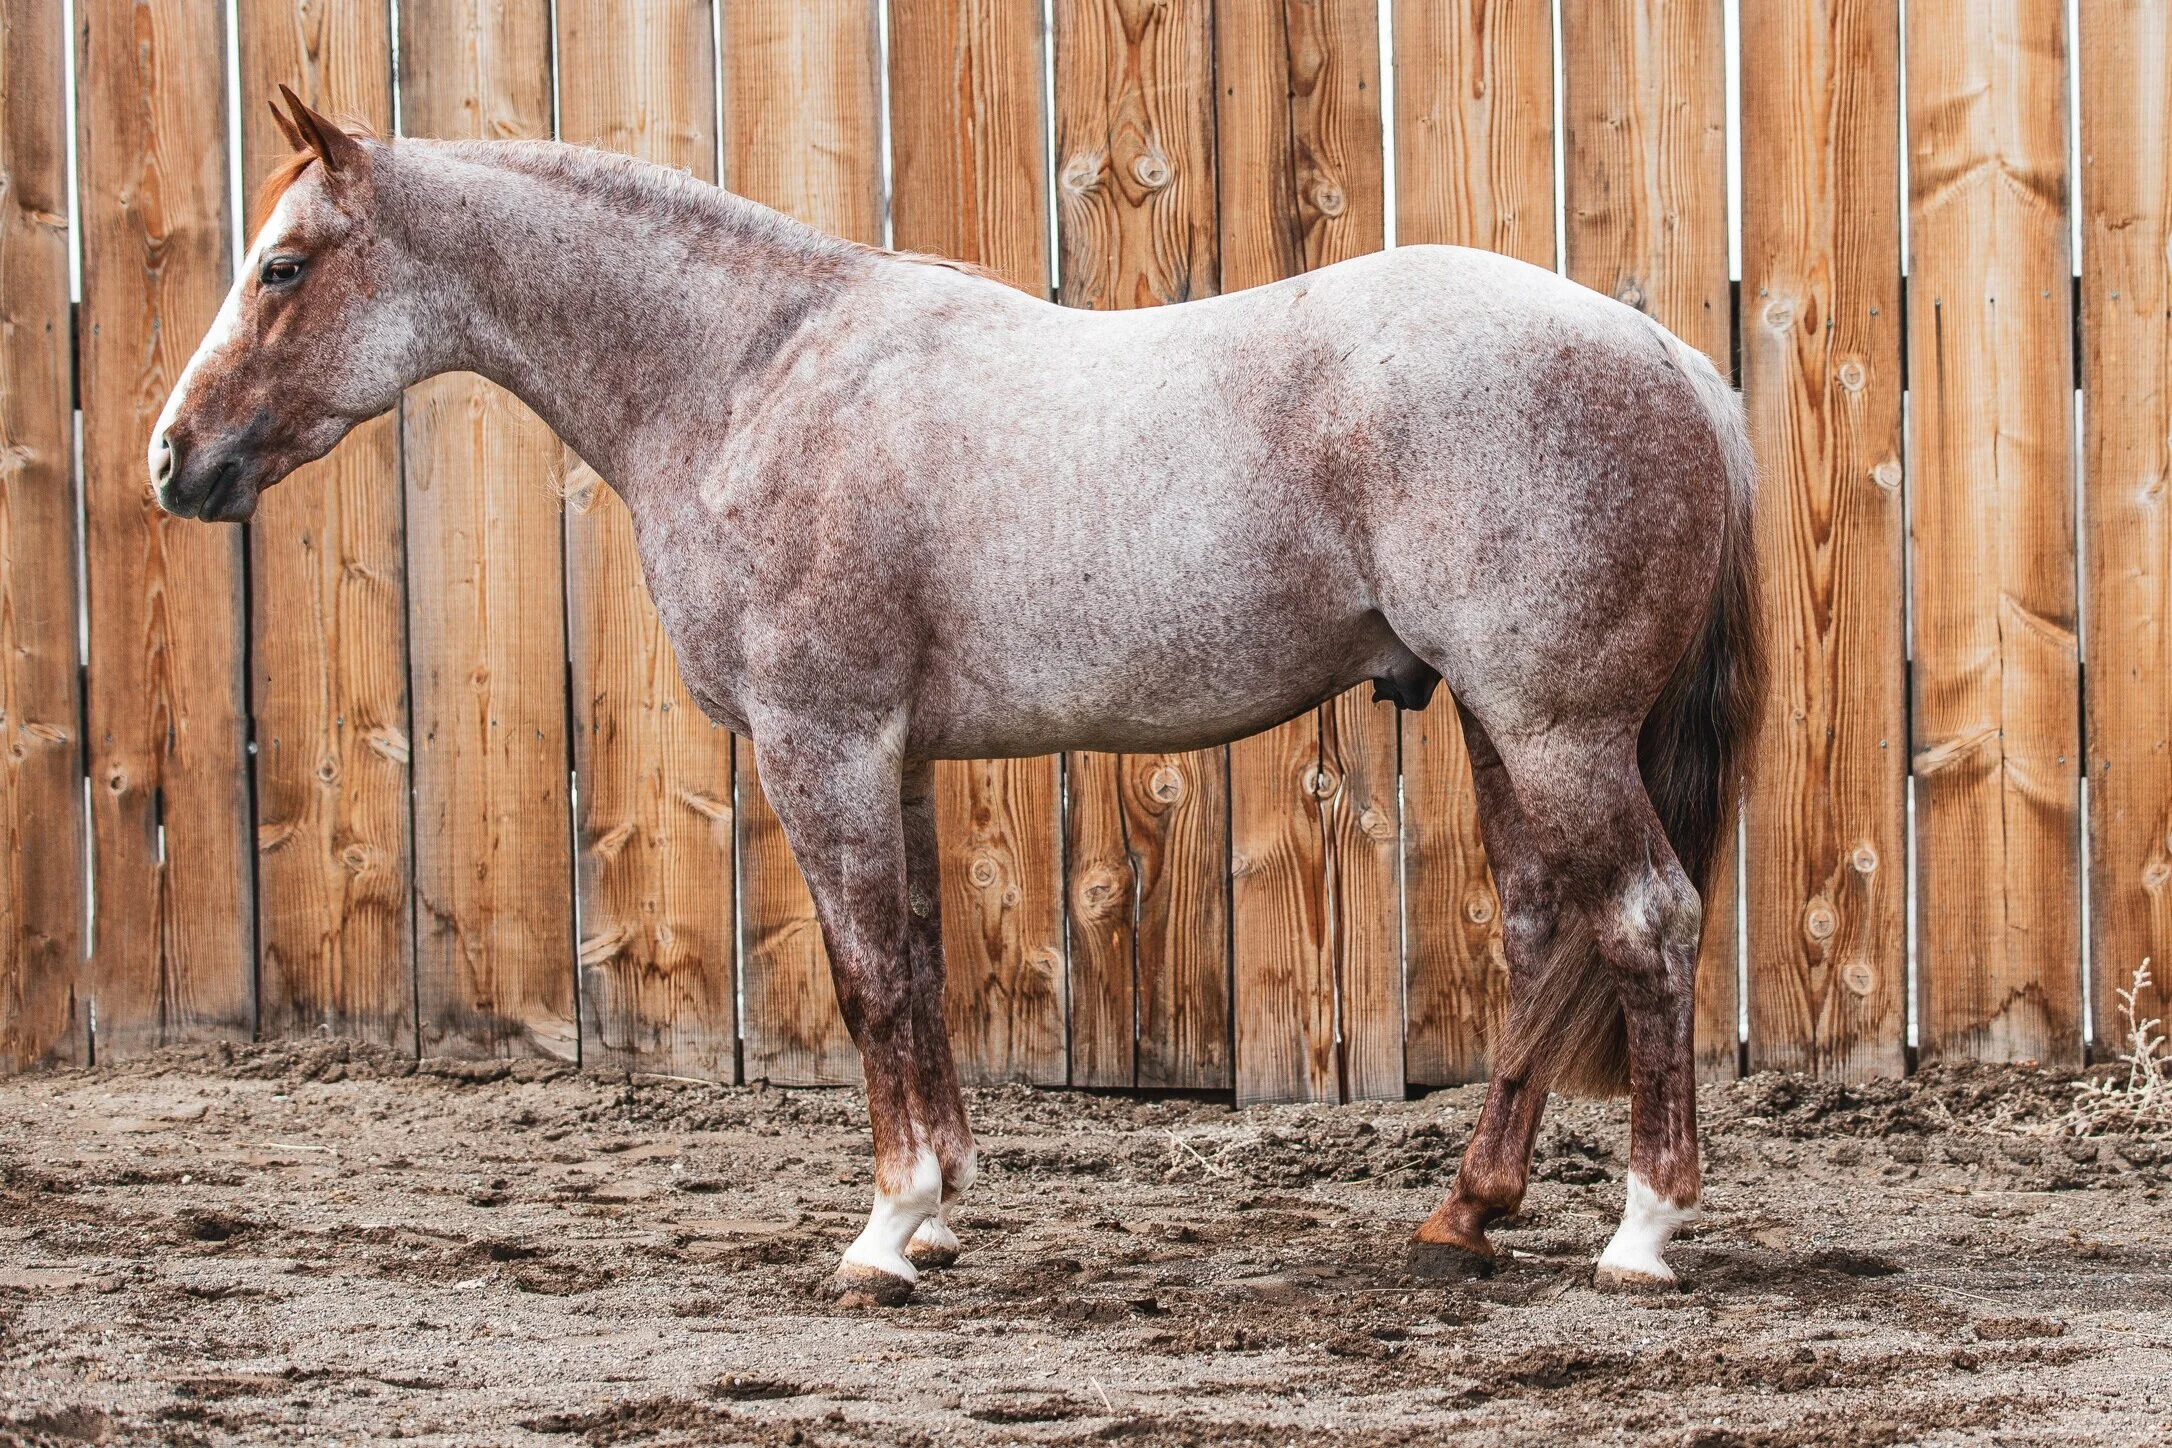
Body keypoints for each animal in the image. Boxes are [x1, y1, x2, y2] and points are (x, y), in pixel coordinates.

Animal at [151, 89, 1762, 1306]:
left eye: (283, 266)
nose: (174, 460)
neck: (749, 379)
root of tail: (1668, 356)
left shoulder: (821, 745)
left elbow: (868, 980)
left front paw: (881, 1233)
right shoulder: (897, 760)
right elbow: (917, 965)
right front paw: (933, 1211)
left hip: (1555, 731)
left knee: (1647, 923)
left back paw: (1641, 1233)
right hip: (1507, 729)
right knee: (1548, 933)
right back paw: (1465, 1213)